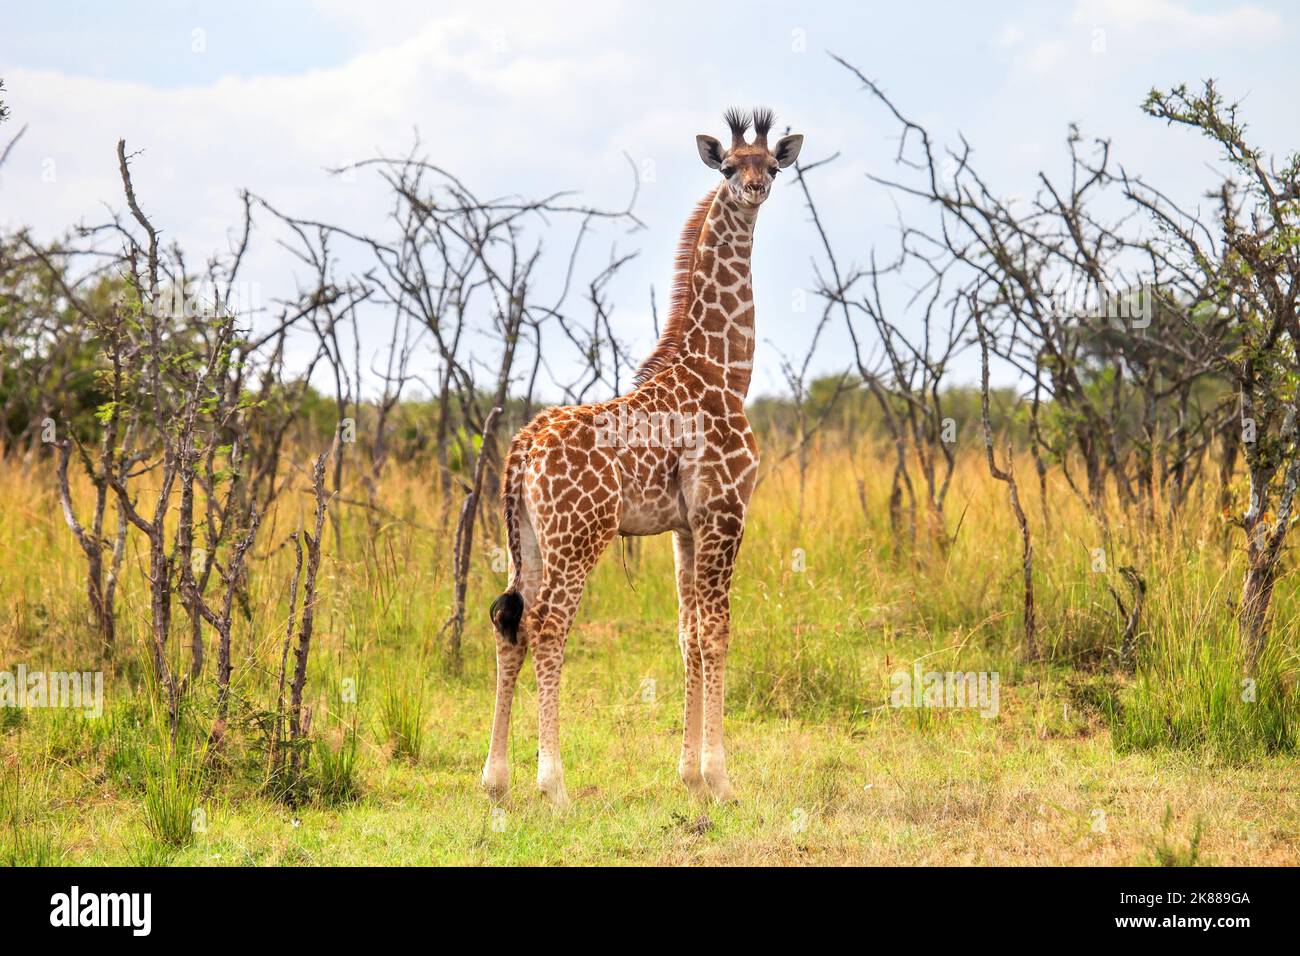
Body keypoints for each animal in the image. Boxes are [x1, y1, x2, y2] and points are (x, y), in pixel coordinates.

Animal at [483, 108, 803, 807]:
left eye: (772, 164)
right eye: (730, 166)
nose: (755, 190)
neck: (725, 371)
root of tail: (521, 449)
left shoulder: (685, 526)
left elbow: (687, 636)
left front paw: (690, 777)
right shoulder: (725, 512)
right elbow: (716, 632)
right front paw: (721, 780)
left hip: (529, 539)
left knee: (508, 623)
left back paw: (495, 781)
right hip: (579, 537)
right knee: (548, 627)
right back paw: (554, 785)